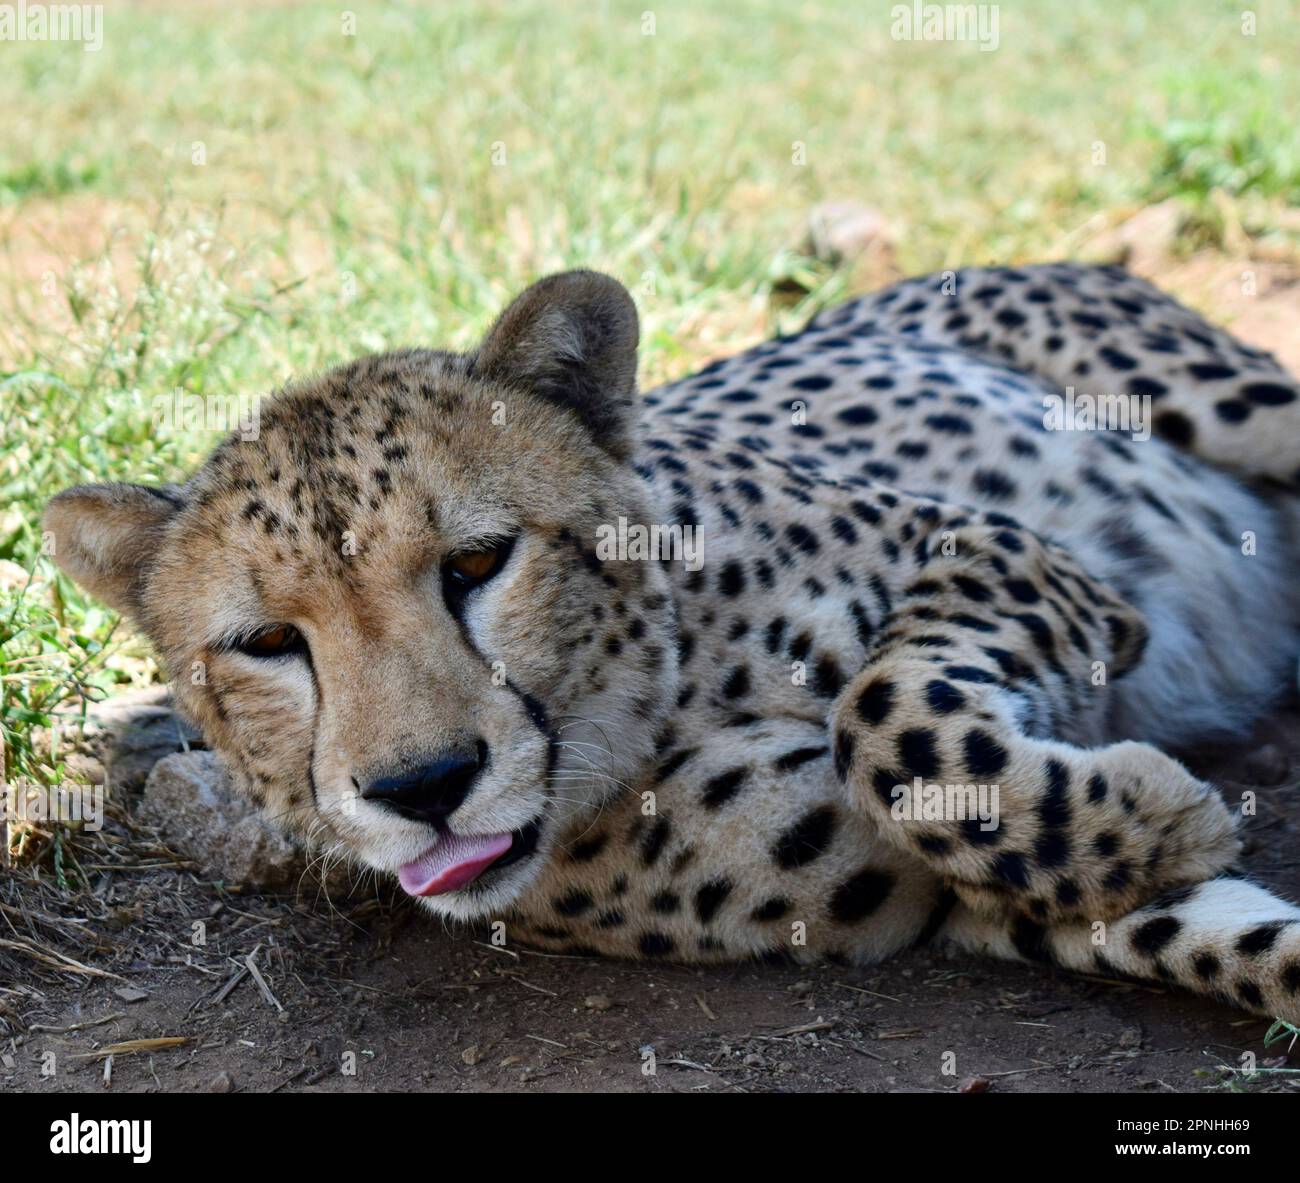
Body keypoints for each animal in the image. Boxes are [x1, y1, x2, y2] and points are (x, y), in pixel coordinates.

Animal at [45, 263, 1300, 1024]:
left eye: (475, 564)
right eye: (267, 641)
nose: (425, 787)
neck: (657, 701)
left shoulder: (1019, 557)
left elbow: (883, 712)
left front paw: (1158, 814)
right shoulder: (931, 899)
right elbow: (1202, 926)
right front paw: (1158, 836)